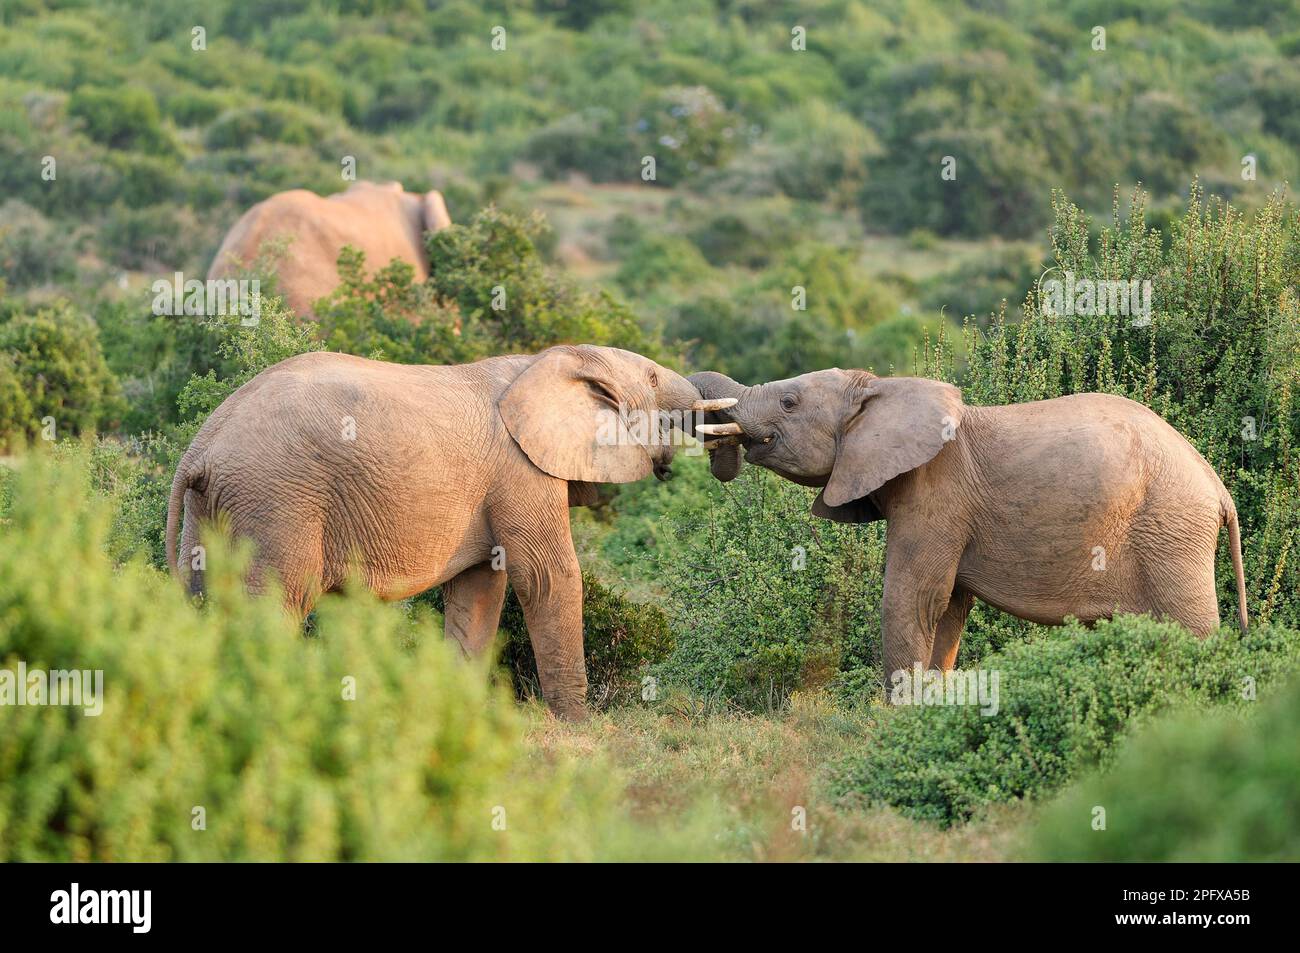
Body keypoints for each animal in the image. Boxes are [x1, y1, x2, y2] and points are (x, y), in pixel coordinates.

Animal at [165, 345, 732, 719]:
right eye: (654, 378)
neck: (550, 359)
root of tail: (200, 449)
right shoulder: (521, 470)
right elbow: (546, 576)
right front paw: (578, 727)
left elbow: (481, 587)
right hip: (277, 498)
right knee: (277, 602)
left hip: (215, 509)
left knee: (201, 599)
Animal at [688, 368, 1249, 678]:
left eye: (789, 402)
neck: (881, 389)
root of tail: (1218, 488)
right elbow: (949, 608)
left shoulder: (936, 497)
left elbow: (912, 599)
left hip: (1171, 532)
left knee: (1194, 628)